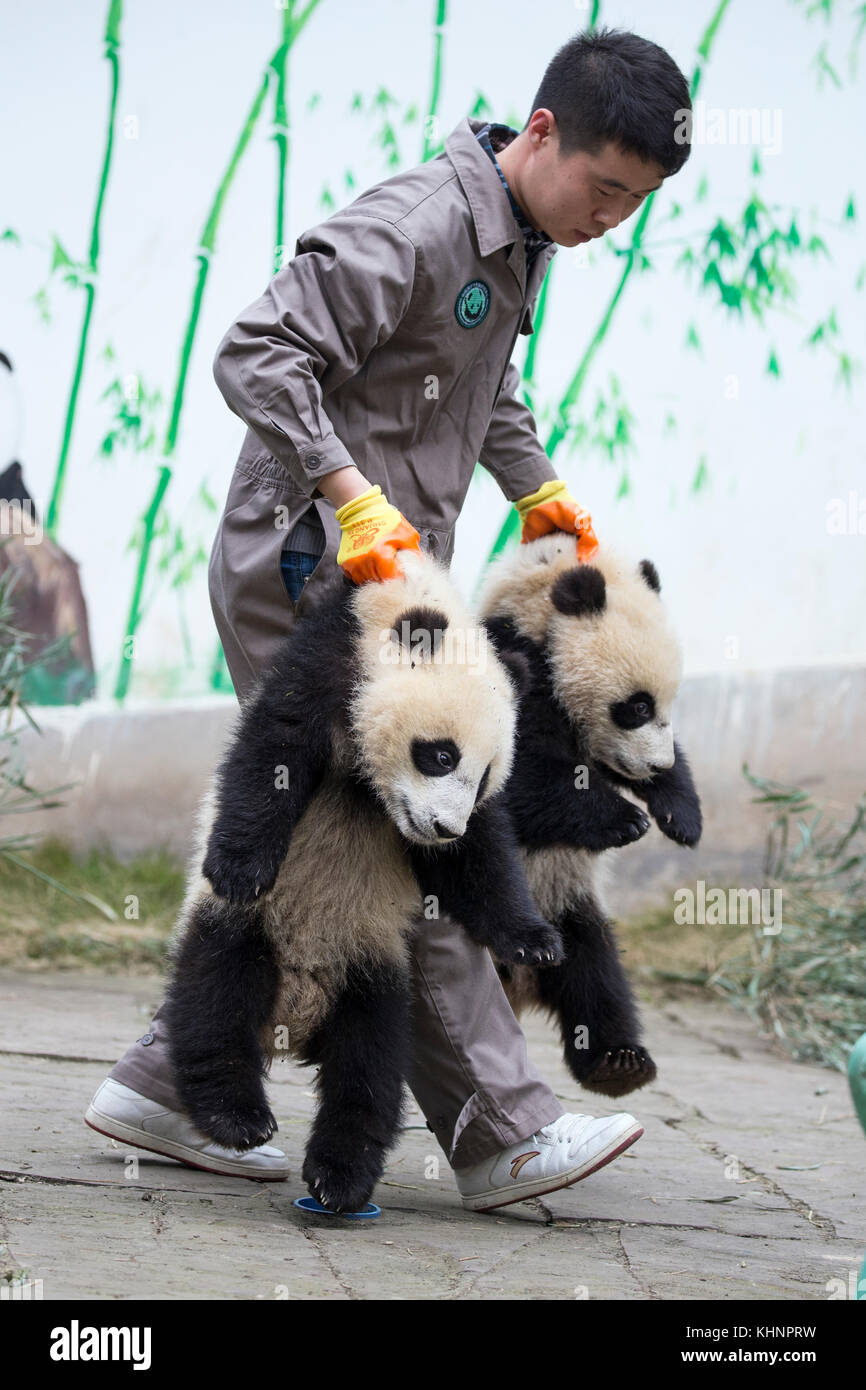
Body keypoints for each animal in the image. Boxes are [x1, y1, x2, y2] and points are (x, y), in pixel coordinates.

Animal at [163, 551, 563, 1215]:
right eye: (441, 755)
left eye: (483, 778)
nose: (441, 827)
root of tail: (295, 1018)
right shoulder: (326, 663)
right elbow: (270, 755)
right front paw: (239, 867)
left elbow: (479, 858)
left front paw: (535, 940)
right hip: (251, 932)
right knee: (215, 995)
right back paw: (238, 1116)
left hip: (372, 968)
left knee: (369, 1066)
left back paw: (339, 1176)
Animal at [478, 533, 703, 1098]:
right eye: (636, 706)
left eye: (666, 703)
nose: (656, 764)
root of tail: (522, 984)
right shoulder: (509, 669)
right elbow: (517, 779)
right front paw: (624, 820)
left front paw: (680, 813)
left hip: (570, 908)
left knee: (598, 977)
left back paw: (617, 1063)